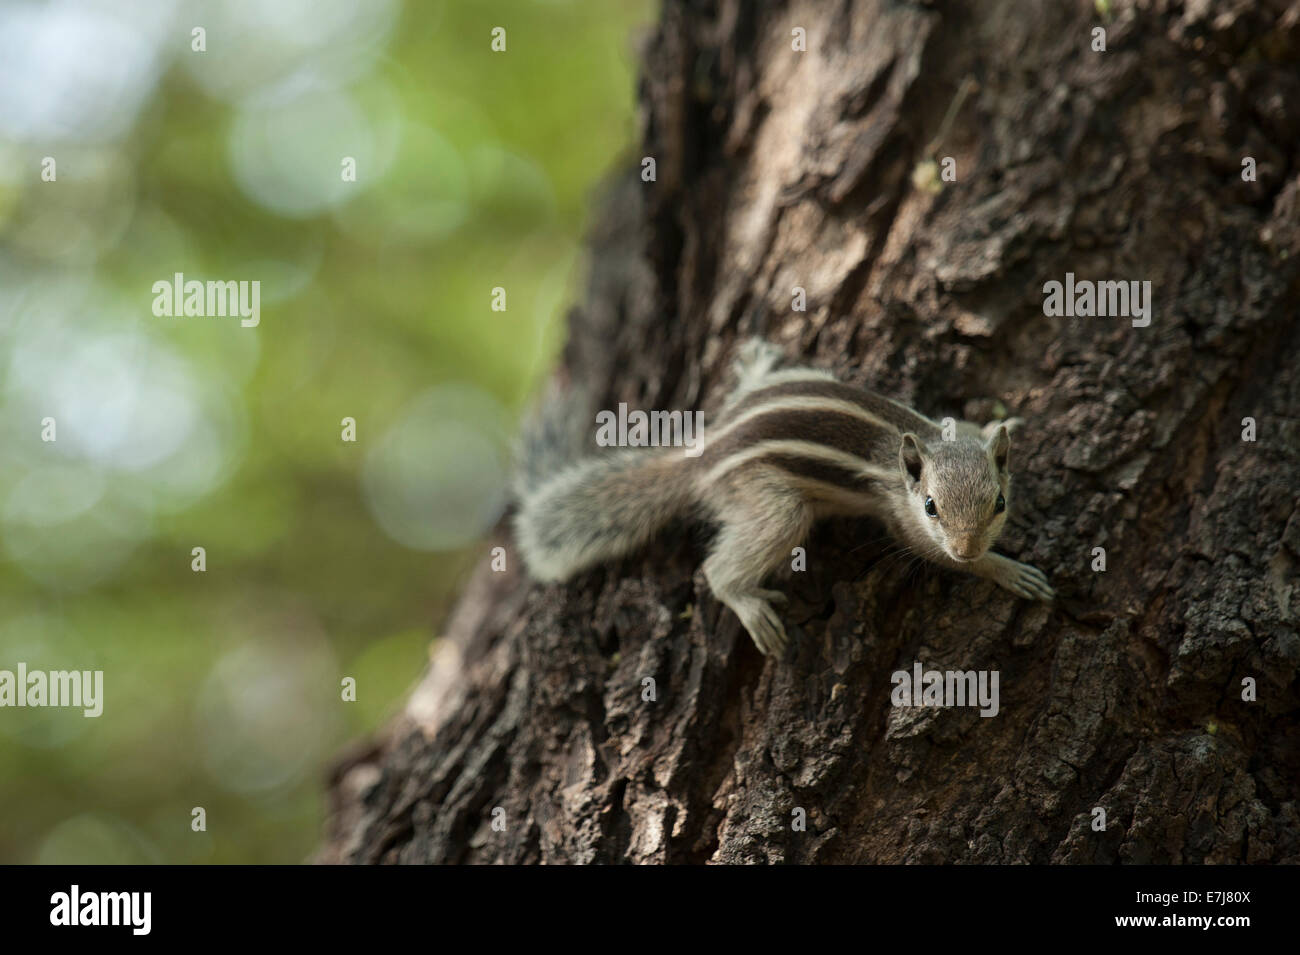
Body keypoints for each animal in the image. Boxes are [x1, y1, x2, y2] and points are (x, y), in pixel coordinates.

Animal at [514, 339, 1054, 655]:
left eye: (999, 504)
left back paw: (758, 366)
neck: (920, 447)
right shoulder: (904, 523)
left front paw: (1006, 424)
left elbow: (972, 427)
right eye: (931, 508)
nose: (967, 548)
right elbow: (930, 553)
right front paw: (1005, 571)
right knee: (718, 570)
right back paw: (748, 605)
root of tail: (706, 451)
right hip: (774, 504)